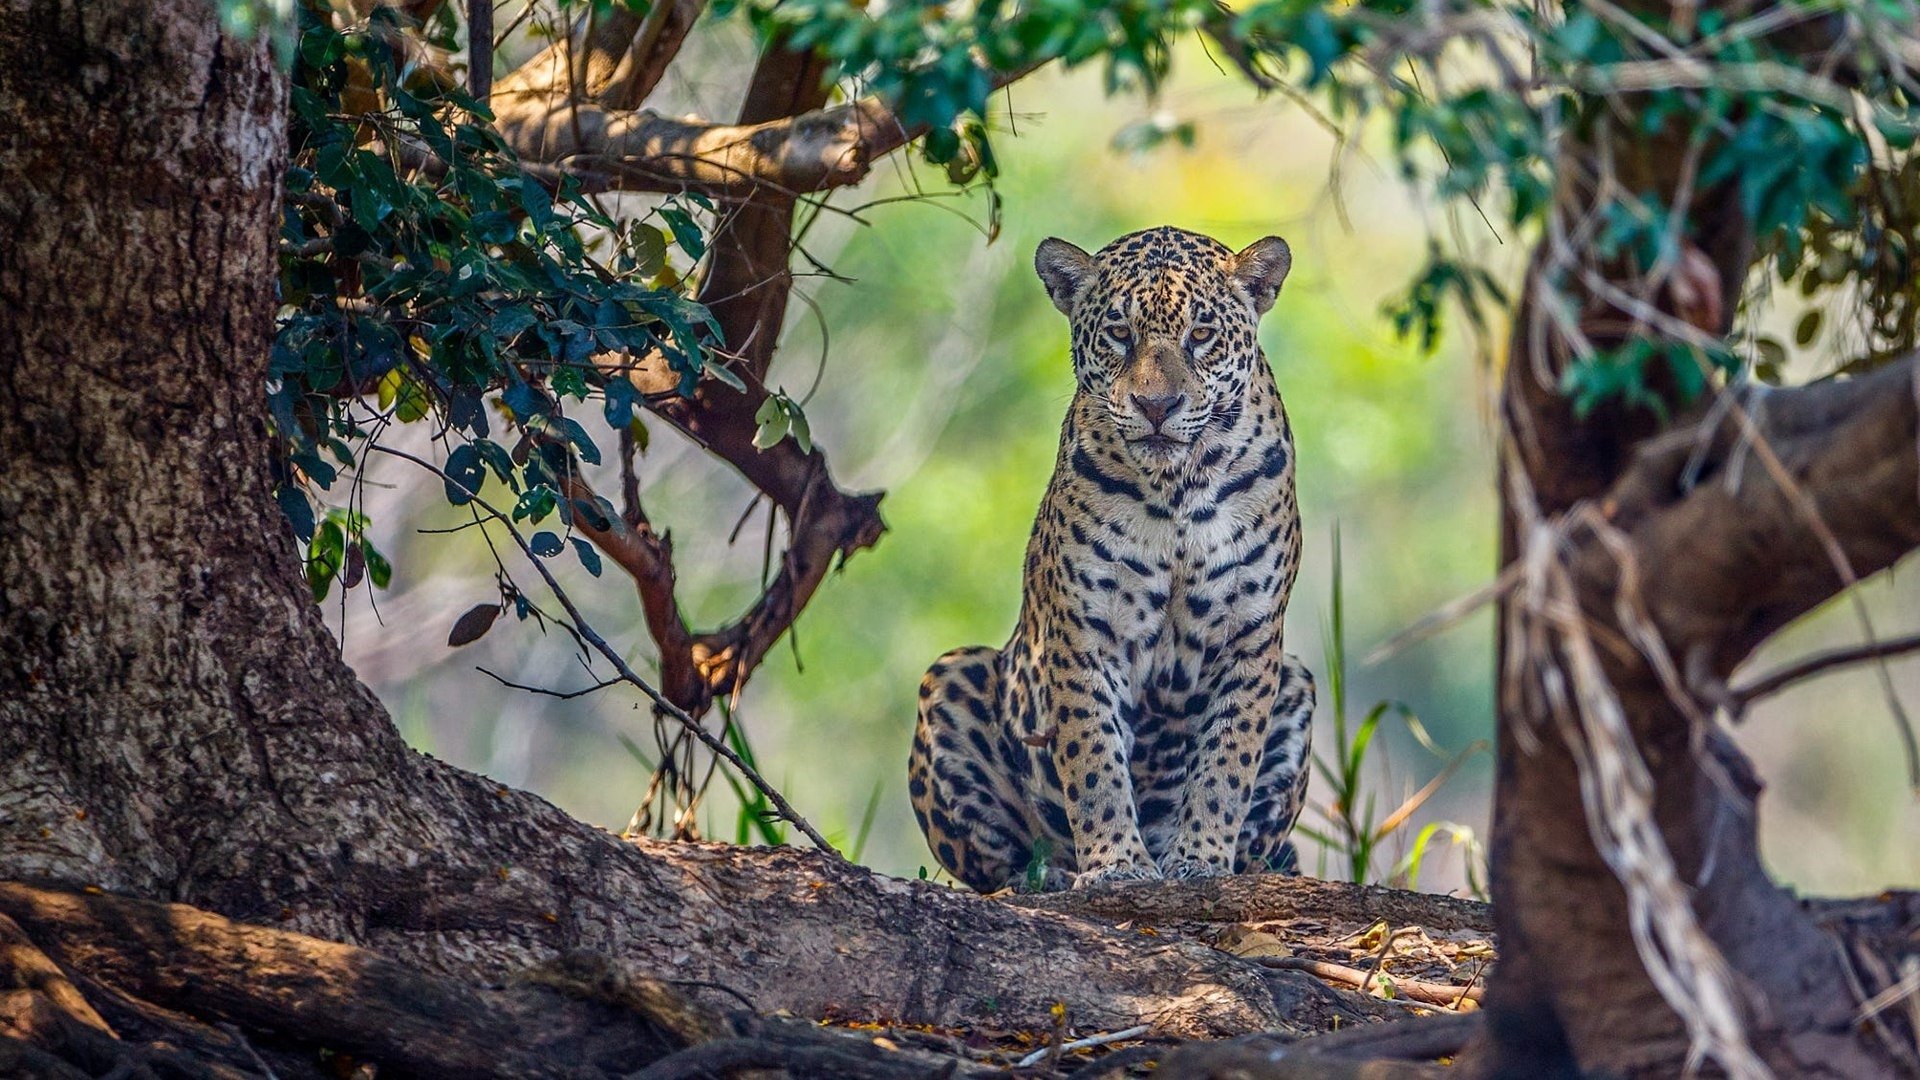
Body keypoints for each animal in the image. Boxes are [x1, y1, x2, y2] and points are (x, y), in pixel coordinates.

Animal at [908, 225, 1315, 893]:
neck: (1178, 487)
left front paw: (1201, 859)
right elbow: (1093, 758)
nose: (1157, 406)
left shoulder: (1250, 638)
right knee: (1000, 862)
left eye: (1200, 335)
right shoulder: (1084, 631)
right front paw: (1116, 866)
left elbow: (1226, 763)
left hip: (1297, 682)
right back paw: (1043, 877)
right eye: (1120, 333)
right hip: (951, 672)